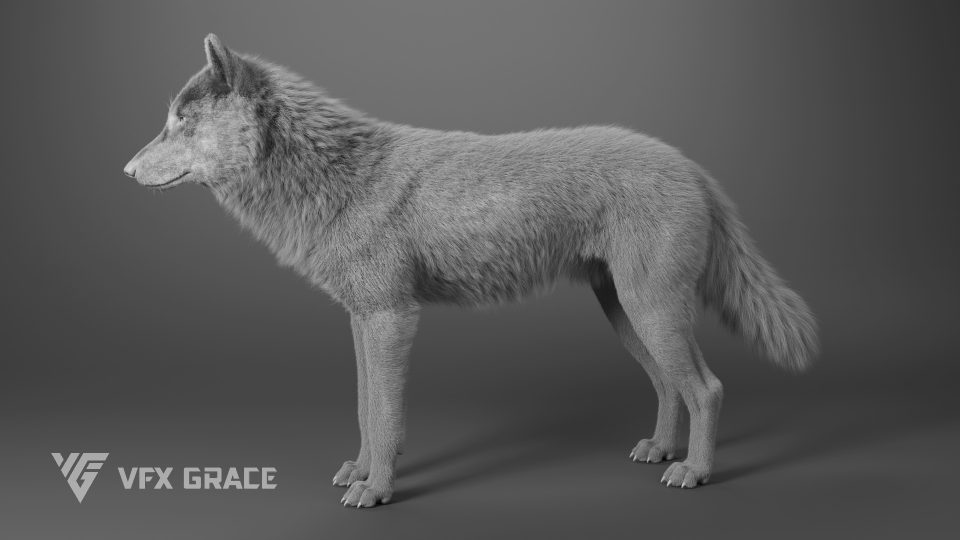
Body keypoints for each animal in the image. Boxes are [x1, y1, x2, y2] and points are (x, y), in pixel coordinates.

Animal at [124, 34, 818, 508]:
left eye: (181, 123)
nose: (125, 171)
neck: (335, 176)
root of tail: (692, 166)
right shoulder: (361, 322)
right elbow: (364, 410)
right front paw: (360, 471)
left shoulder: (393, 320)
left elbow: (386, 417)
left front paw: (376, 491)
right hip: (625, 313)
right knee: (670, 386)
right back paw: (659, 451)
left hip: (651, 309)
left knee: (707, 387)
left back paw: (694, 472)